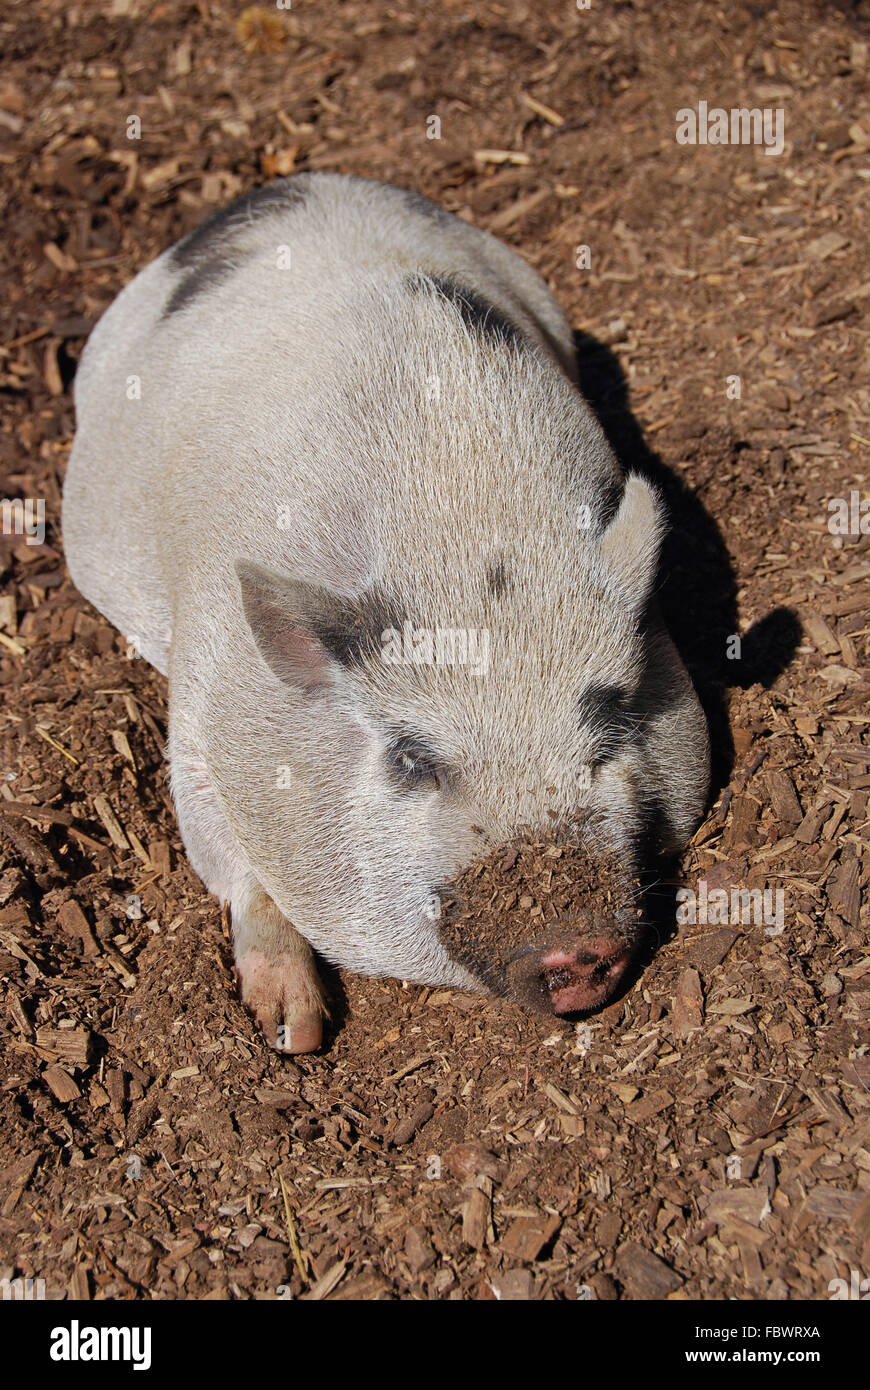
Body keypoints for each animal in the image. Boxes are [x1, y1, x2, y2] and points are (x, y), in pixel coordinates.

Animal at [62, 172, 710, 1053]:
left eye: (610, 730)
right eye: (410, 759)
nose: (571, 948)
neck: (457, 536)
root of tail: (300, 183)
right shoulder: (197, 716)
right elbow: (230, 863)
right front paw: (295, 1034)